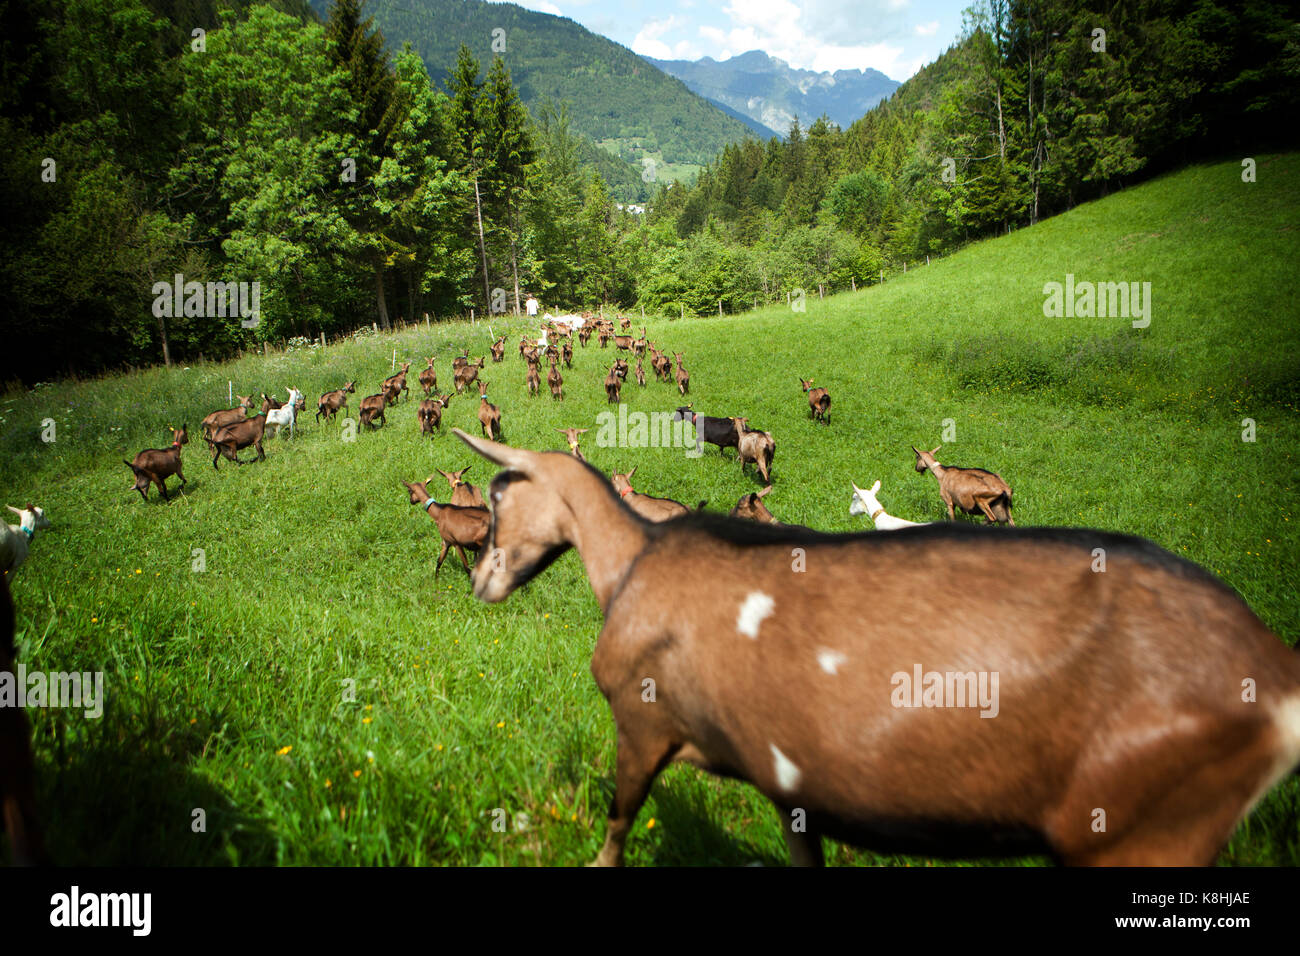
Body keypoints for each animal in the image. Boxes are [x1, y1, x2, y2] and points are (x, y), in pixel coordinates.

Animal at [452, 426, 1300, 868]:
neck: (632, 559)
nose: (482, 580)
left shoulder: (641, 722)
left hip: (1141, 831)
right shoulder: (787, 783)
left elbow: (617, 824)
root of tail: (1271, 671)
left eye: (499, 492)